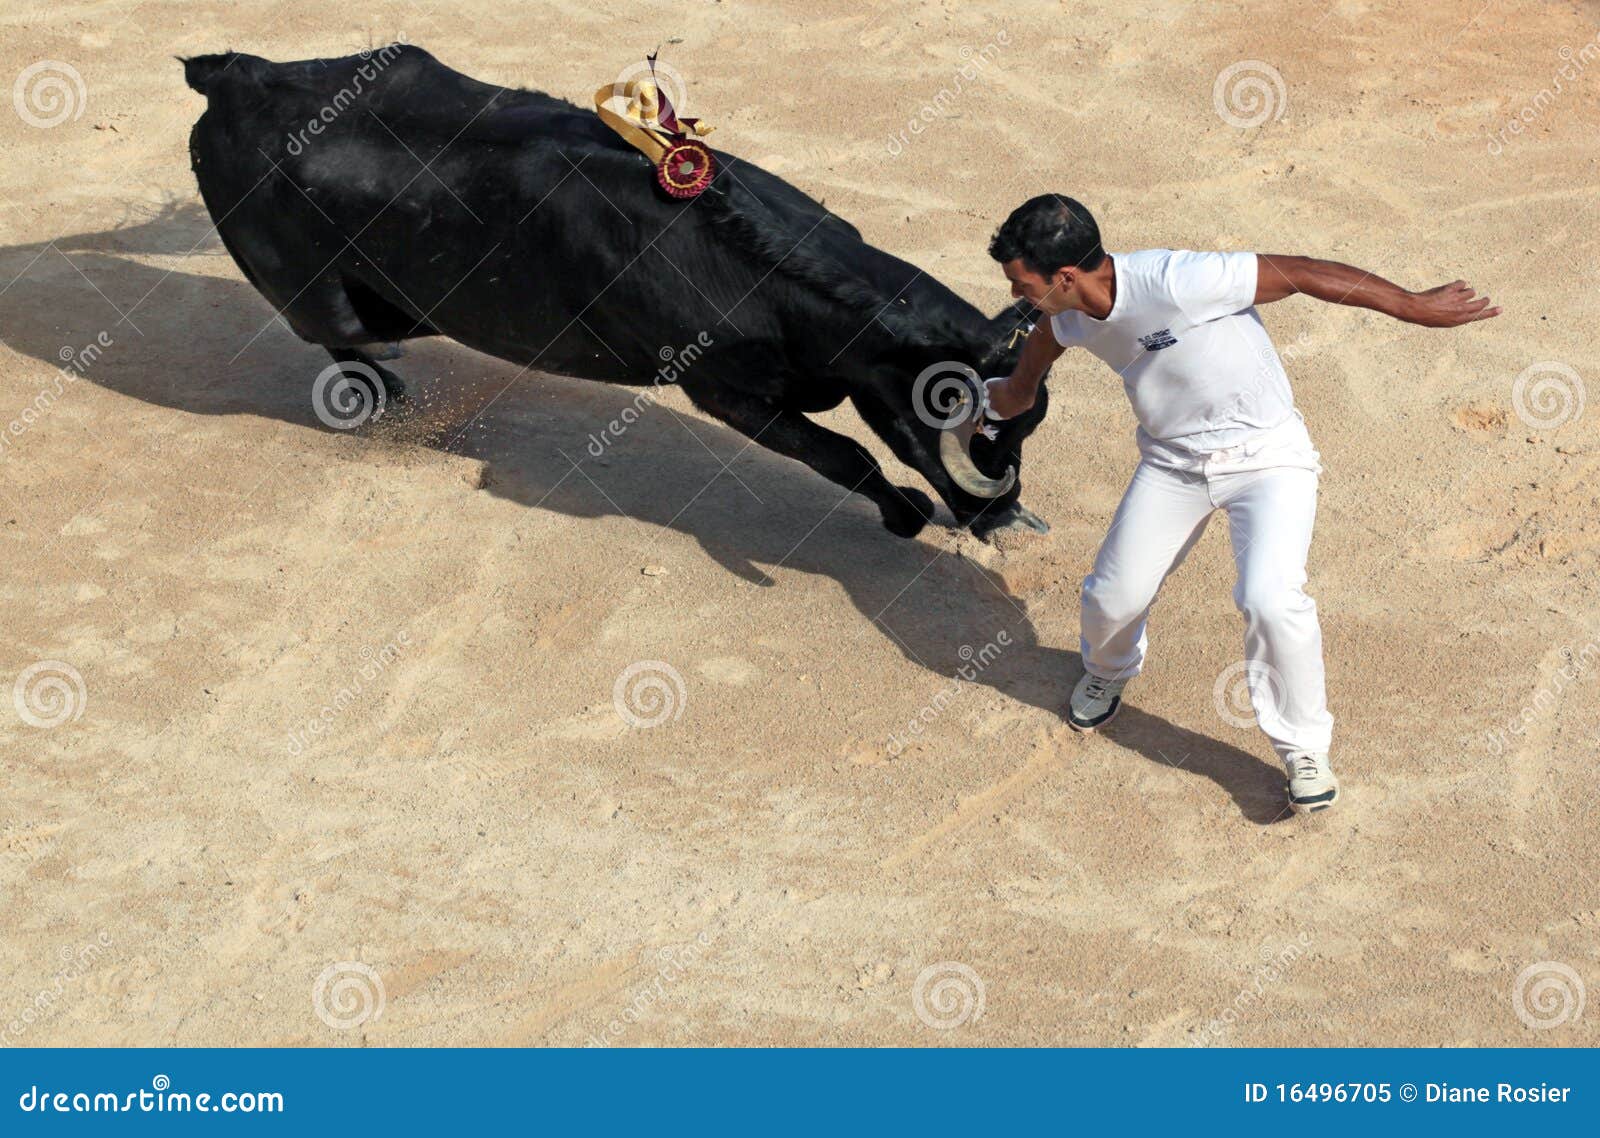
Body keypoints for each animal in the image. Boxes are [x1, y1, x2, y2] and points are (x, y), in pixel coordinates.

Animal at [181, 45, 1053, 541]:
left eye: (1021, 425)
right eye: (959, 415)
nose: (1004, 513)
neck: (763, 274)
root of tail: (233, 79)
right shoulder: (729, 394)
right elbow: (844, 457)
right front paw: (904, 515)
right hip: (316, 294)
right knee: (337, 335)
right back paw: (379, 385)